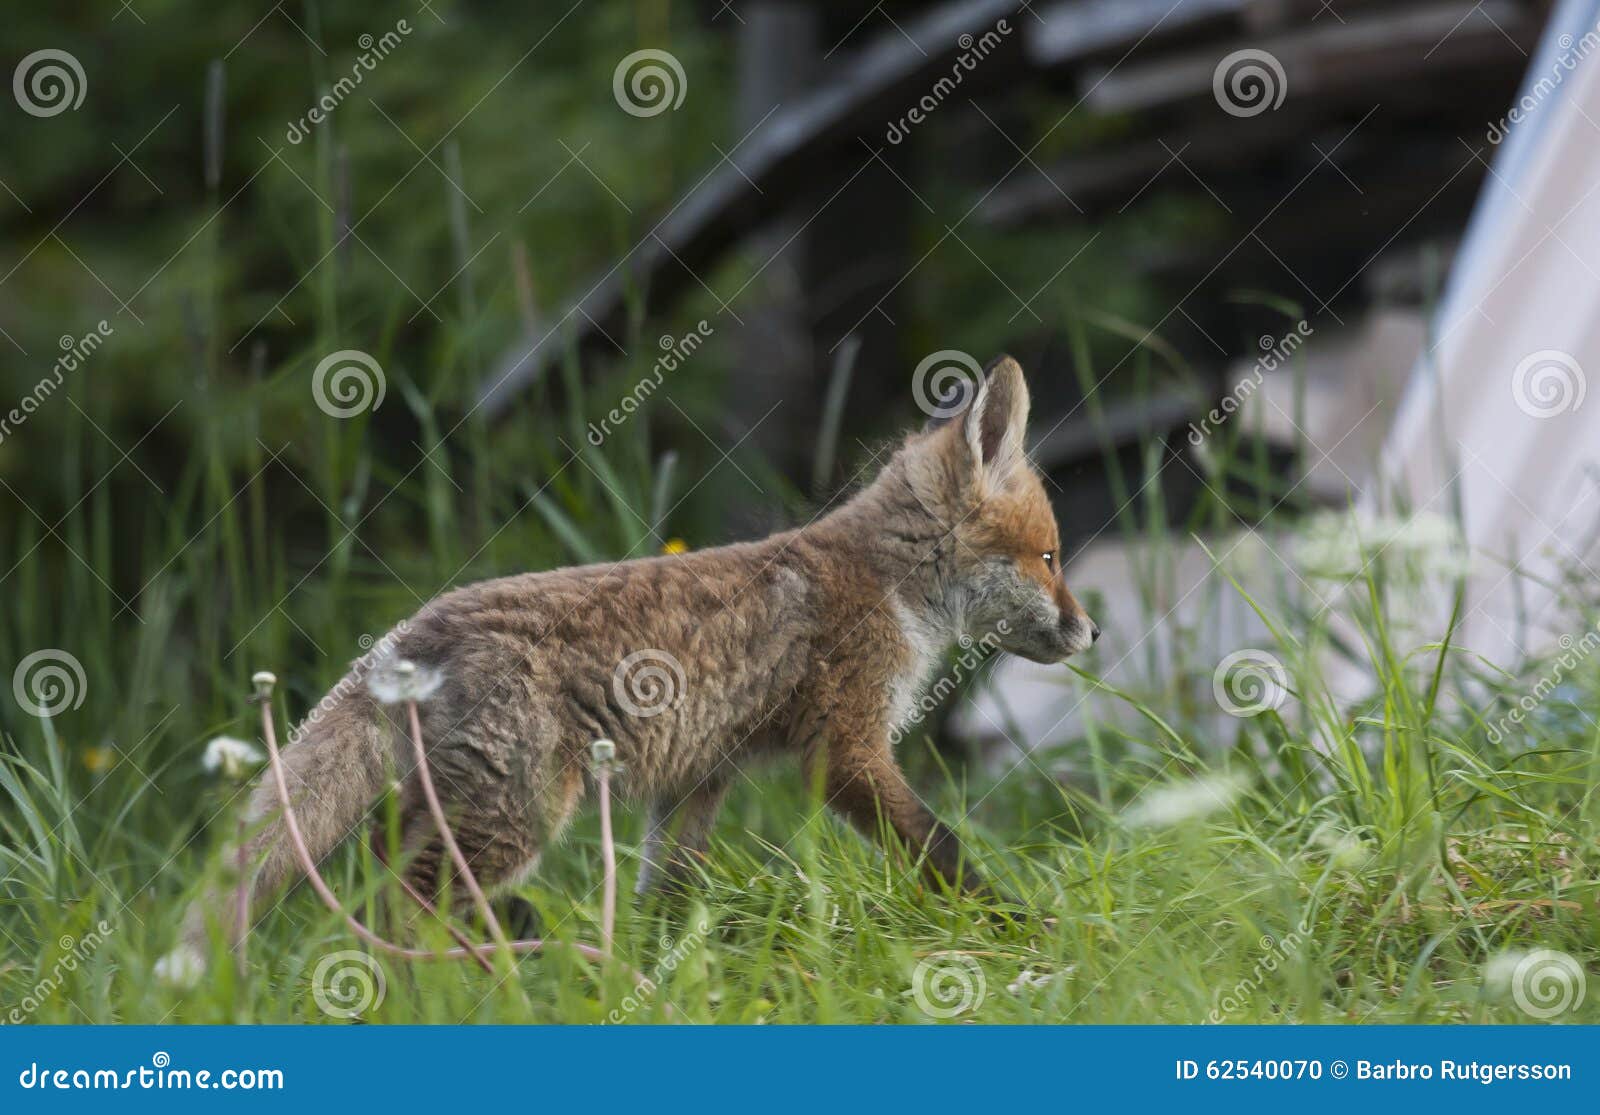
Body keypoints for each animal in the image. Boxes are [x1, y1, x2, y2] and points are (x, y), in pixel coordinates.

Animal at [165, 355, 1098, 977]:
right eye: (1051, 556)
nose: (1090, 633)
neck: (887, 585)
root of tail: (417, 626)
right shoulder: (846, 750)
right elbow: (941, 849)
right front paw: (1017, 928)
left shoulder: (699, 778)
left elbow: (665, 900)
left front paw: (649, 979)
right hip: (520, 814)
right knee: (402, 906)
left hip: (462, 807)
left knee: (385, 892)